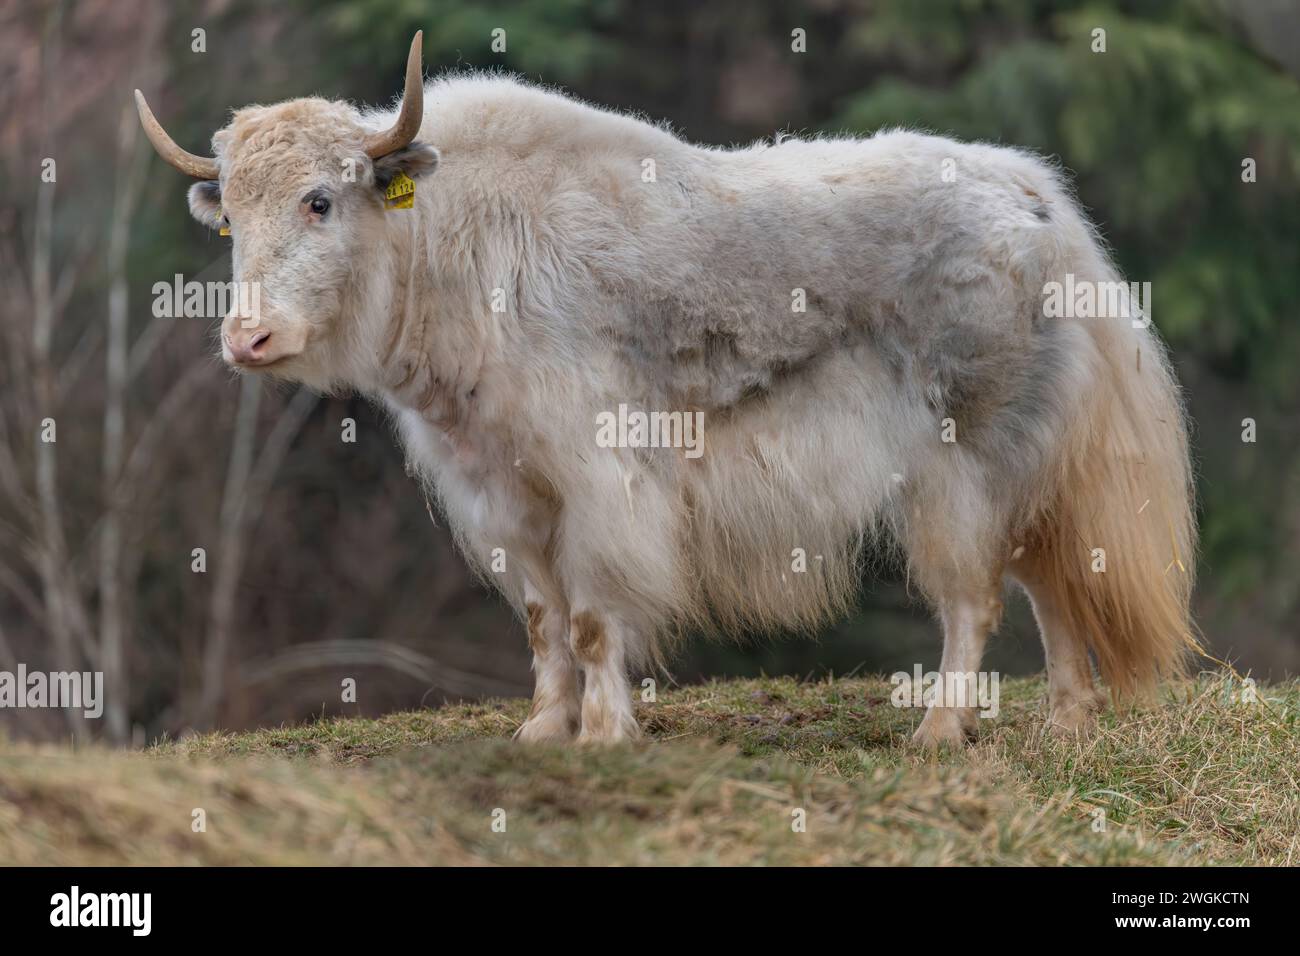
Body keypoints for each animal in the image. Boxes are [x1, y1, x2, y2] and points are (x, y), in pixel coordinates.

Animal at [136, 32, 1196, 747]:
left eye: (320, 199)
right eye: (229, 217)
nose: (247, 338)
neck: (448, 239)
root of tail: (1037, 201)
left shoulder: (599, 477)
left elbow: (594, 612)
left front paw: (605, 736)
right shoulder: (502, 490)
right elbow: (542, 617)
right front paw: (541, 732)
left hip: (964, 459)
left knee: (975, 595)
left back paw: (939, 731)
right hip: (1024, 458)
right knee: (1049, 577)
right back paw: (1066, 721)